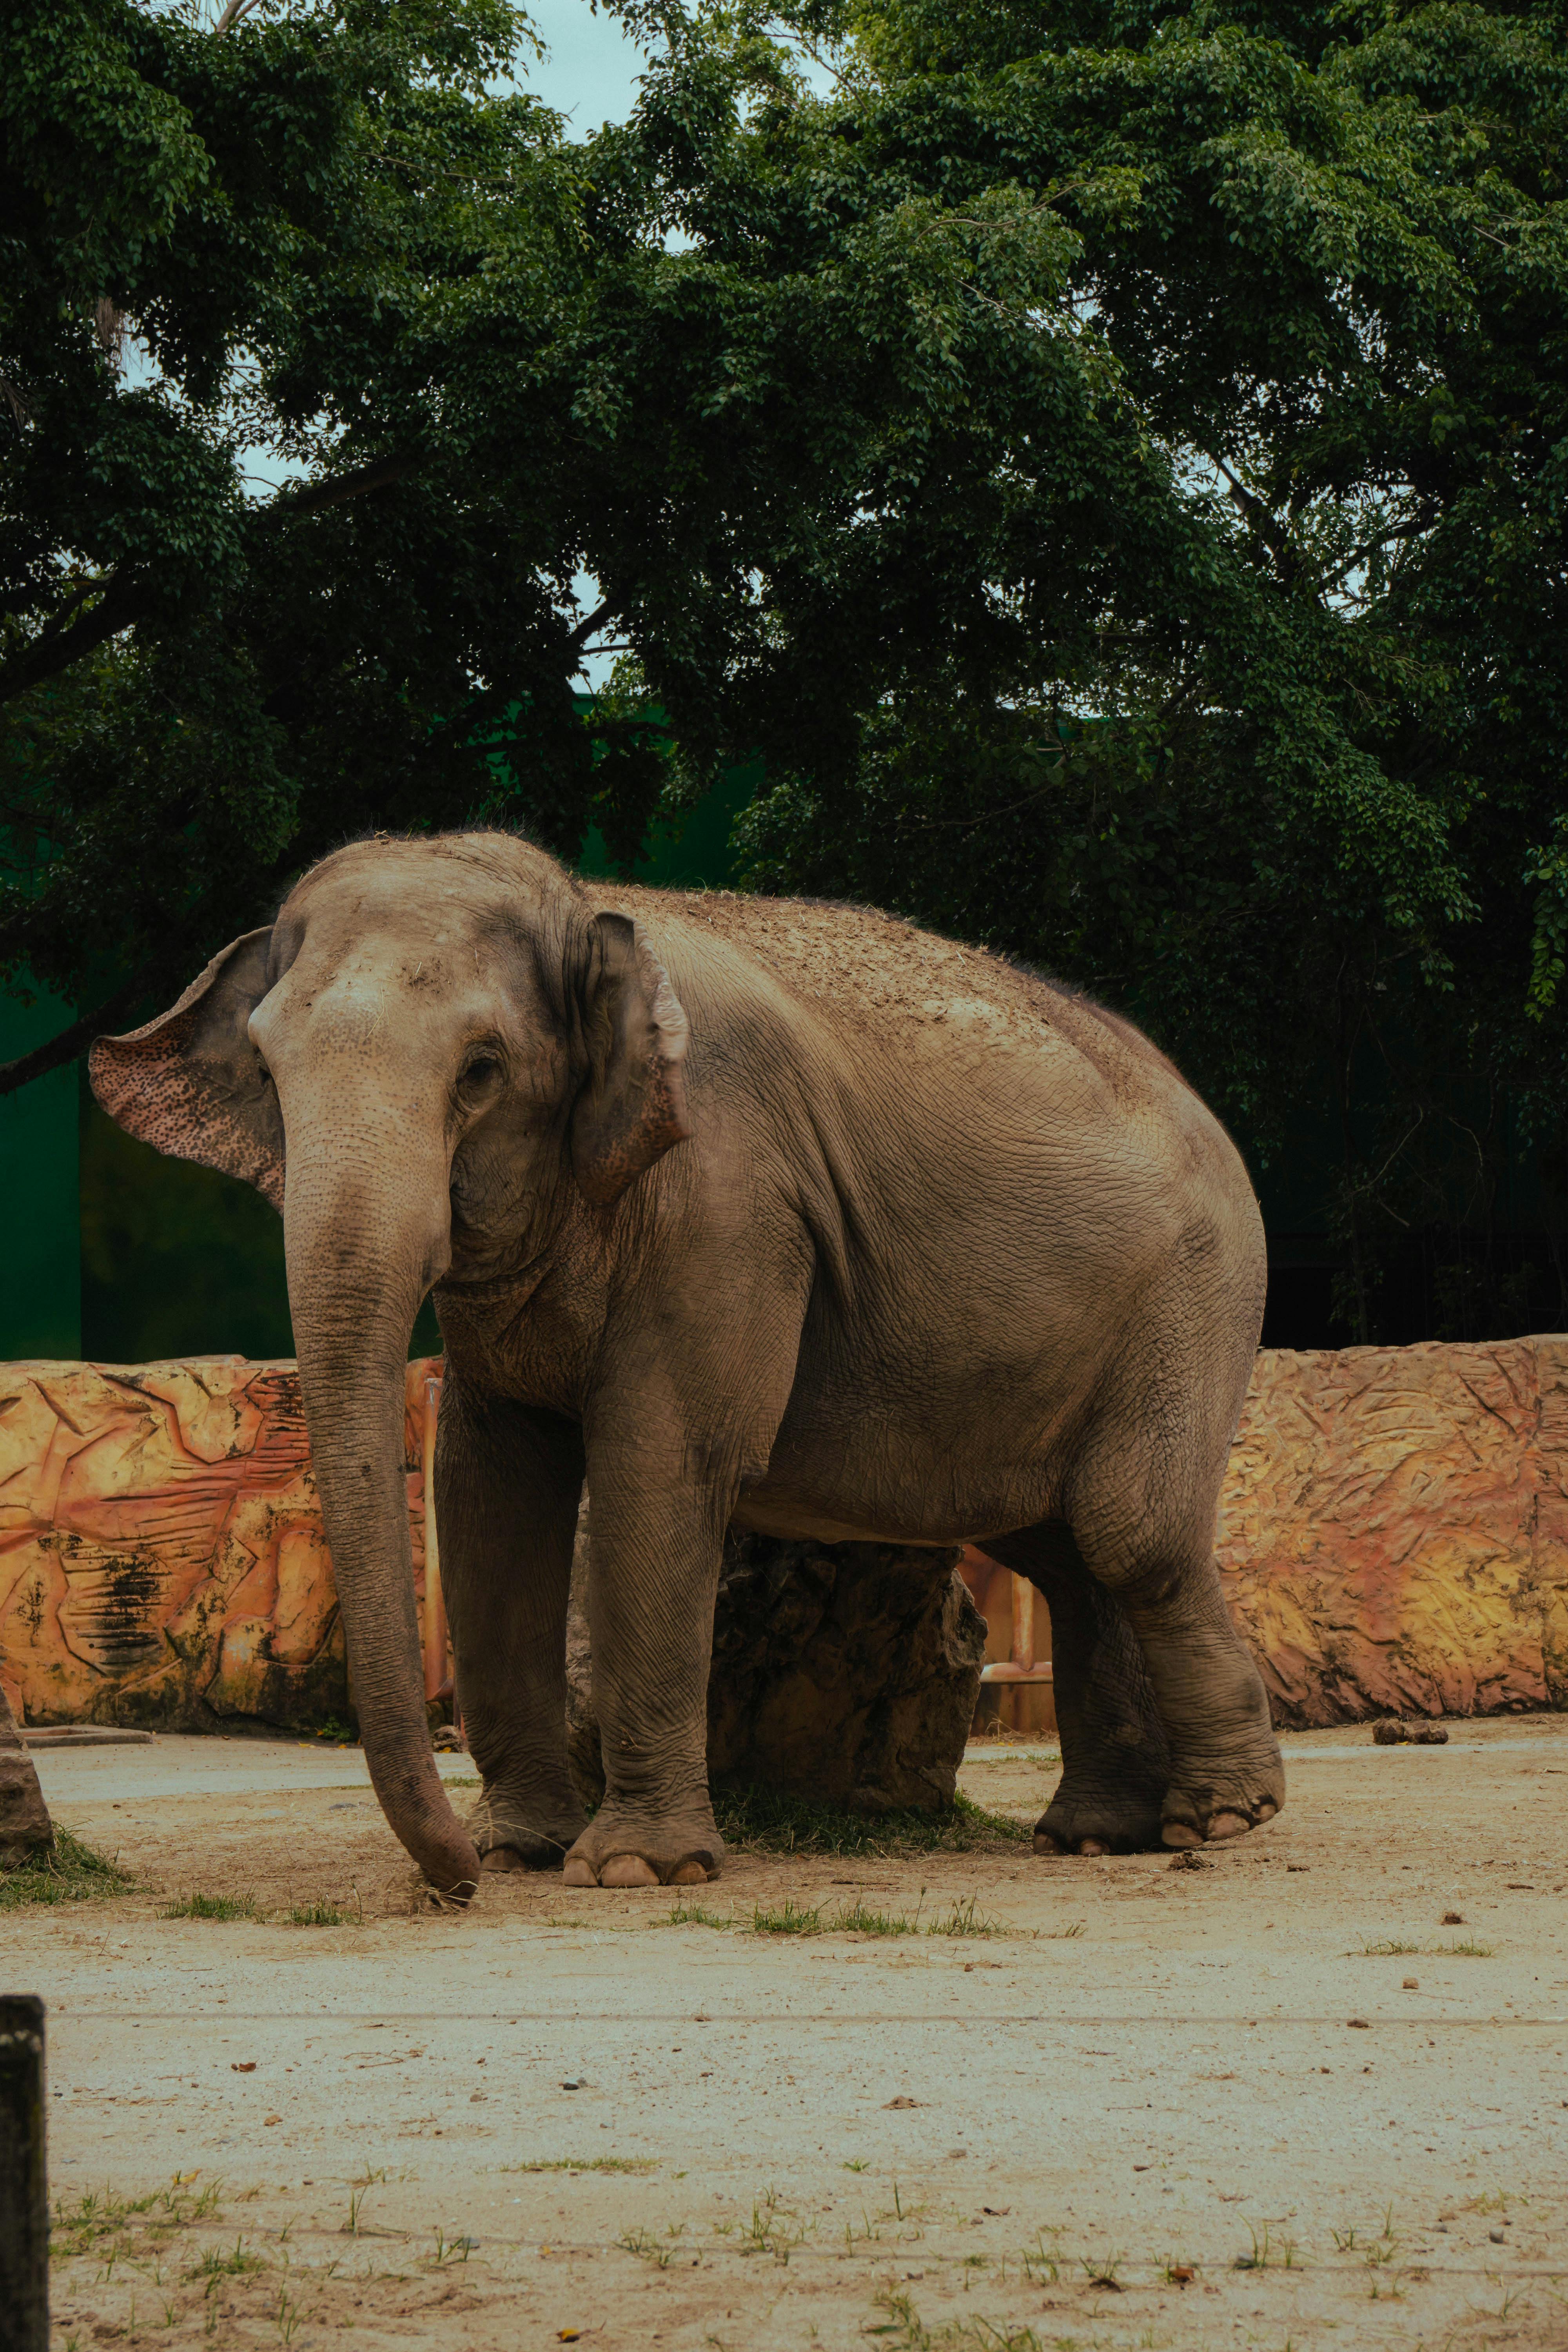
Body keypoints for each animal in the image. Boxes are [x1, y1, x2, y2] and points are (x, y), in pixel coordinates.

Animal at [90, 830, 1283, 1896]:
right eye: (265, 1068)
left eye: (481, 1072)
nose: (454, 1885)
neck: (584, 907)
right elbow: (491, 1487)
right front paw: (524, 1852)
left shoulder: (730, 1198)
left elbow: (659, 1469)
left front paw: (633, 1870)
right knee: (1066, 1548)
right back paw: (1096, 1837)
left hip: (1197, 1297)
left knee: (1131, 1530)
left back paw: (1223, 1815)